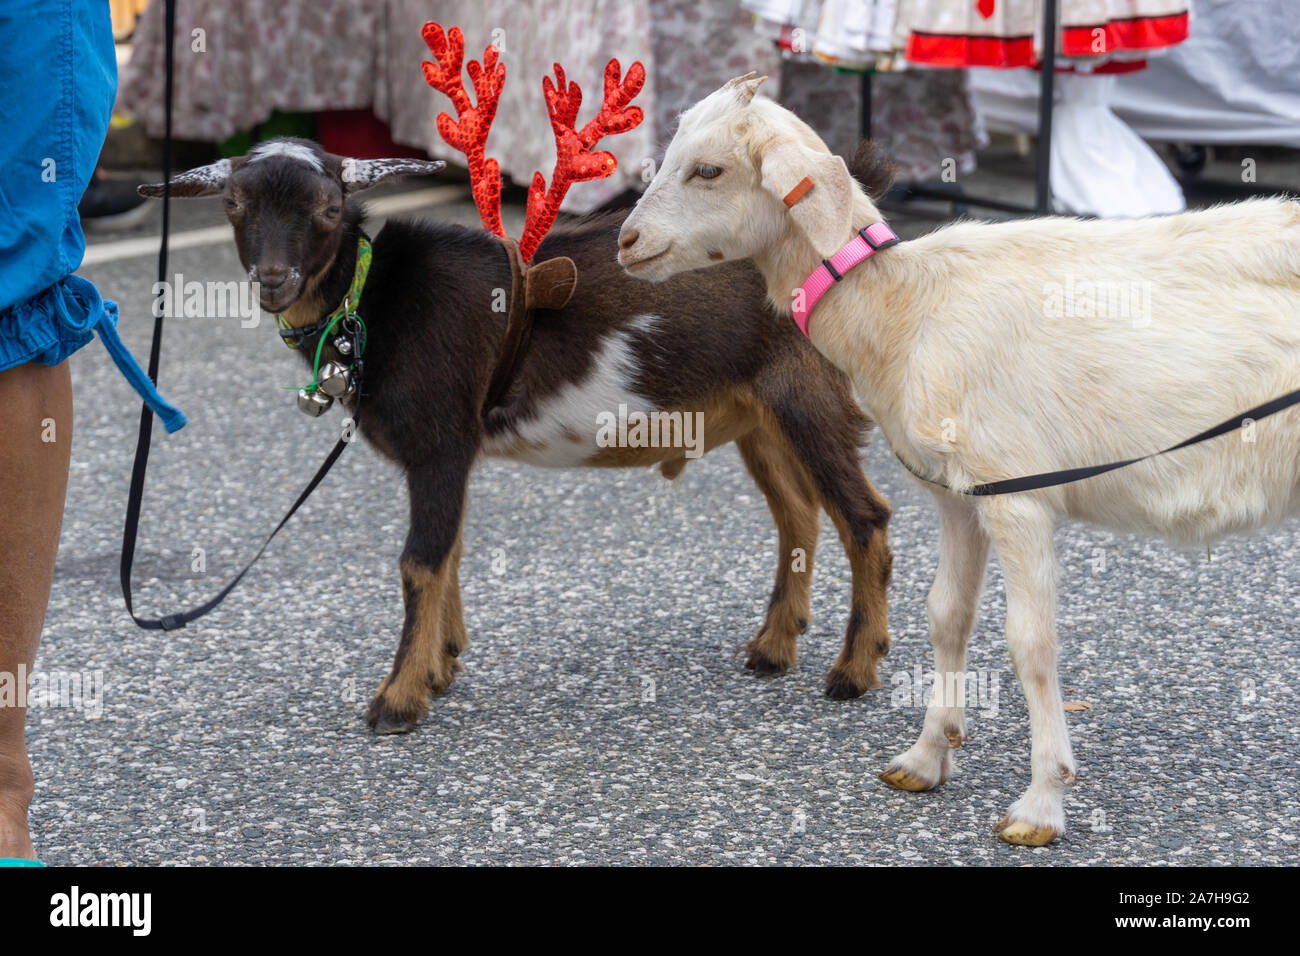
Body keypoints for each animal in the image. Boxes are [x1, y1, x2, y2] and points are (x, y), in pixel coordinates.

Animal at [140, 136, 896, 734]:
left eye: (327, 210)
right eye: (233, 206)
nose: (274, 280)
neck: (371, 302)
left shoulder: (440, 441)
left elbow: (420, 560)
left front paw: (397, 700)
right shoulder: (448, 452)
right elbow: (449, 551)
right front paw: (441, 666)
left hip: (805, 390)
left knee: (863, 516)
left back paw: (854, 671)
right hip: (757, 411)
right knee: (799, 513)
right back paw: (773, 648)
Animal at [618, 75, 1300, 845]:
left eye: (709, 170)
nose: (626, 241)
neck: (902, 306)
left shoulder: (1017, 491)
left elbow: (1030, 643)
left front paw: (1041, 802)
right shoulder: (956, 494)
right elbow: (946, 615)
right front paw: (925, 756)